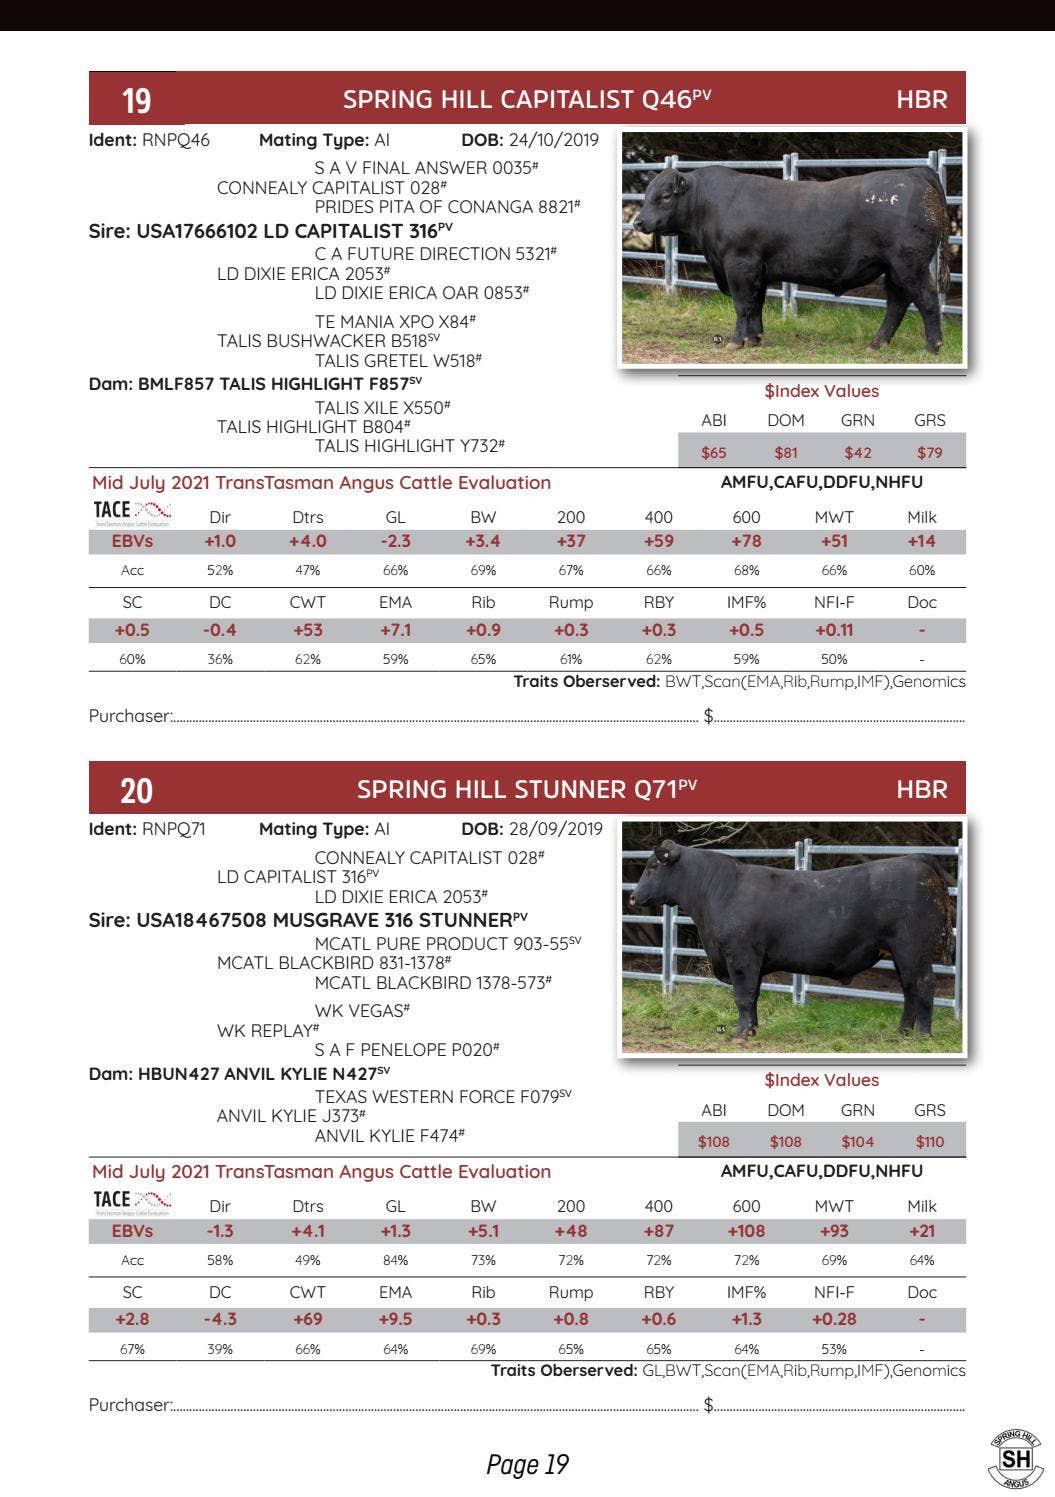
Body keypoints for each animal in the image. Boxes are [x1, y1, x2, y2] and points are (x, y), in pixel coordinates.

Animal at [628, 840, 952, 1041]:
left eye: (653, 867)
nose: (633, 896)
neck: (719, 891)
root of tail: (915, 857)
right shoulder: (753, 961)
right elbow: (753, 996)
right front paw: (753, 1029)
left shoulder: (741, 955)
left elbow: (742, 996)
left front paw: (740, 1034)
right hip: (900, 952)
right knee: (909, 988)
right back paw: (902, 1031)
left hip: (913, 947)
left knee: (922, 984)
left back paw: (922, 1034)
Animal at [633, 165, 950, 354]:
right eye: (647, 195)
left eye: (664, 196)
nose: (638, 222)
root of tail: (914, 173)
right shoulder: (757, 268)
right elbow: (756, 305)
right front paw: (754, 338)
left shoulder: (739, 264)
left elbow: (742, 304)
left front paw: (736, 342)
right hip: (894, 268)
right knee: (898, 303)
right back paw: (876, 344)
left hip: (909, 264)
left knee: (926, 299)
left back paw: (932, 347)